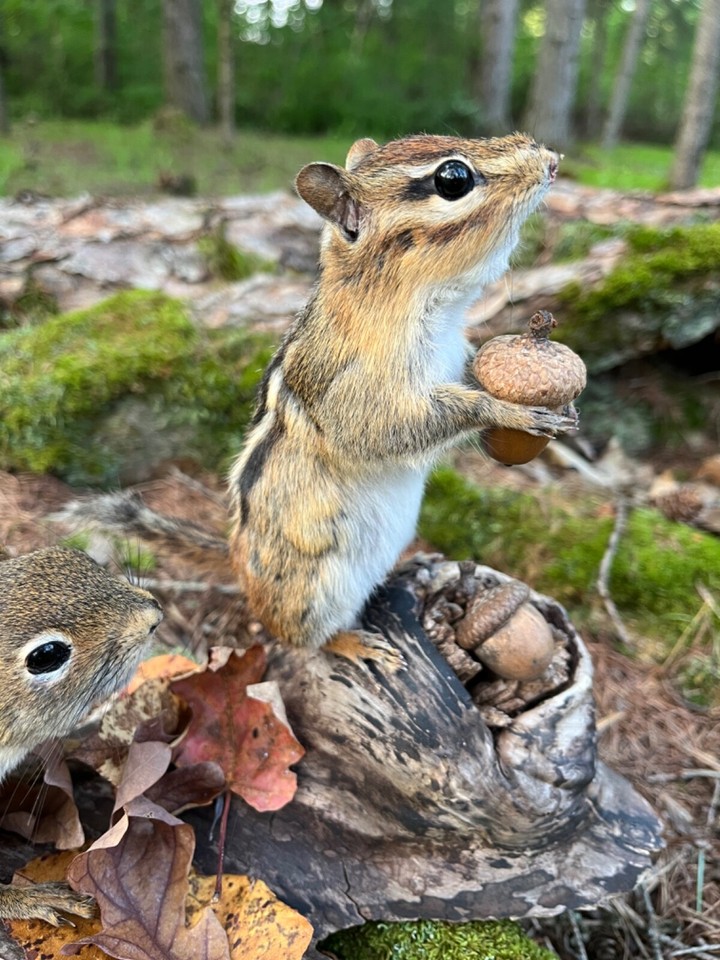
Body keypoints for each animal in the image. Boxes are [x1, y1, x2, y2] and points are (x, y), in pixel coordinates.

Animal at [57, 133, 575, 671]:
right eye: (453, 179)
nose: (551, 163)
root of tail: (238, 565)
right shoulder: (357, 390)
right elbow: (391, 429)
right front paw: (508, 410)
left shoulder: (457, 357)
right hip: (315, 592)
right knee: (302, 638)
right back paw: (353, 643)